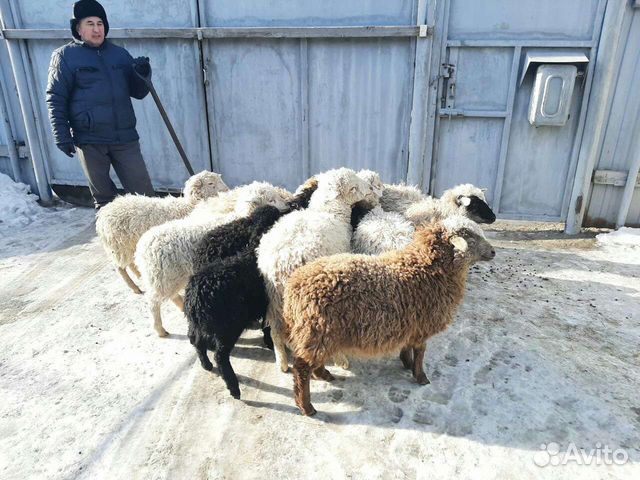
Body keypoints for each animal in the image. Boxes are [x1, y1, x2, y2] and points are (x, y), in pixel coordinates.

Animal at [95, 171, 228, 294]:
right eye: (210, 183)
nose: (227, 190)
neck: (188, 205)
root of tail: (102, 213)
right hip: (119, 246)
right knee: (119, 267)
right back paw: (135, 288)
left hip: (127, 246)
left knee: (130, 263)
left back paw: (139, 275)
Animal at [135, 181, 293, 337]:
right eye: (271, 200)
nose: (288, 205)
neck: (243, 217)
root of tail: (141, 248)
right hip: (161, 278)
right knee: (153, 302)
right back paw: (160, 329)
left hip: (167, 279)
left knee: (170, 296)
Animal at [256, 168, 380, 373]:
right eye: (353, 187)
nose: (369, 189)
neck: (330, 212)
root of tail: (282, 262)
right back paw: (340, 360)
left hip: (274, 296)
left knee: (276, 329)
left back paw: (282, 362)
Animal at [283, 215, 496, 415]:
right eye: (471, 237)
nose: (494, 252)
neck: (426, 269)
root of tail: (294, 286)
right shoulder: (422, 325)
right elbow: (420, 352)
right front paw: (420, 376)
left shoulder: (412, 322)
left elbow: (408, 347)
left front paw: (407, 363)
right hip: (317, 329)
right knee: (301, 368)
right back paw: (307, 407)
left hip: (319, 332)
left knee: (314, 360)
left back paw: (324, 375)